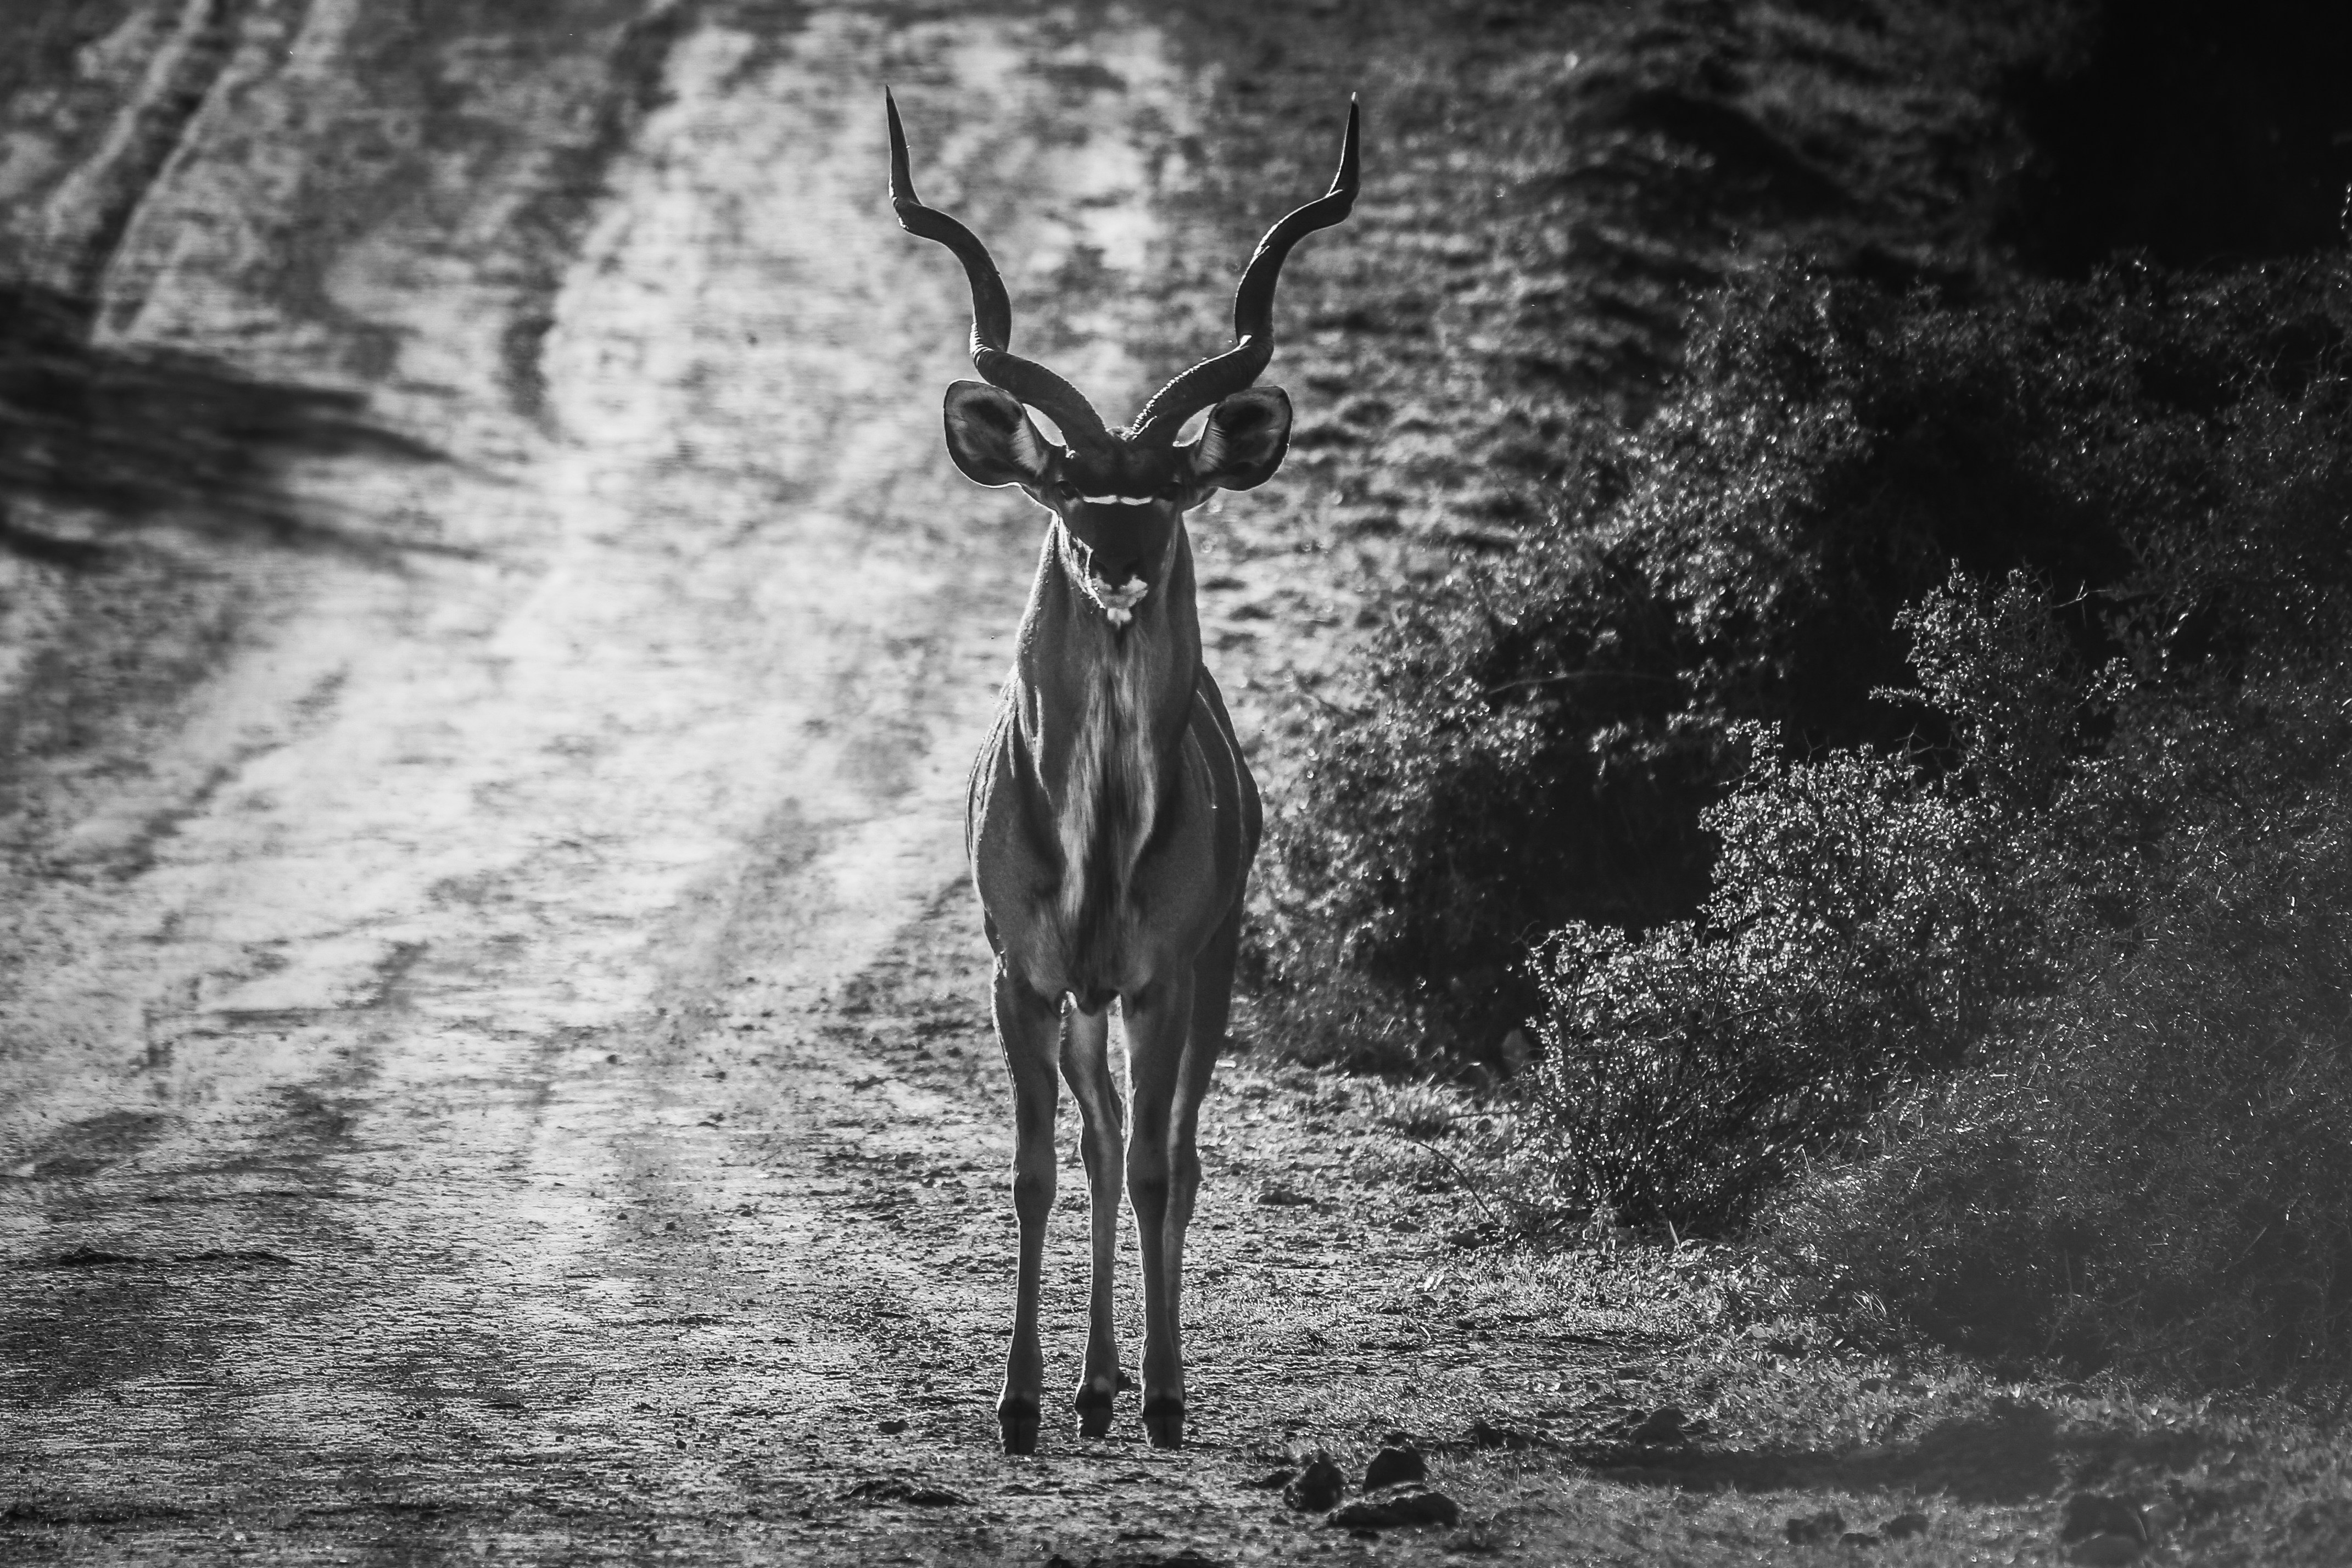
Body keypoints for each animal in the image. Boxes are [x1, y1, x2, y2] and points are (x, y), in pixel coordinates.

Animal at [887, 91, 1358, 1452]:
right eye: (1061, 485)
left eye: (1167, 487)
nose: (1114, 562)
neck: (1094, 839)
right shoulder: (1021, 979)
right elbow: (1038, 1168)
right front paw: (1019, 1403)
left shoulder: (1162, 975)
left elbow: (1157, 1167)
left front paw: (1159, 1397)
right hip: (1087, 1007)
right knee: (1098, 1144)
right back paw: (1088, 1392)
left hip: (1206, 975)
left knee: (1169, 1156)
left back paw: (1128, 1391)